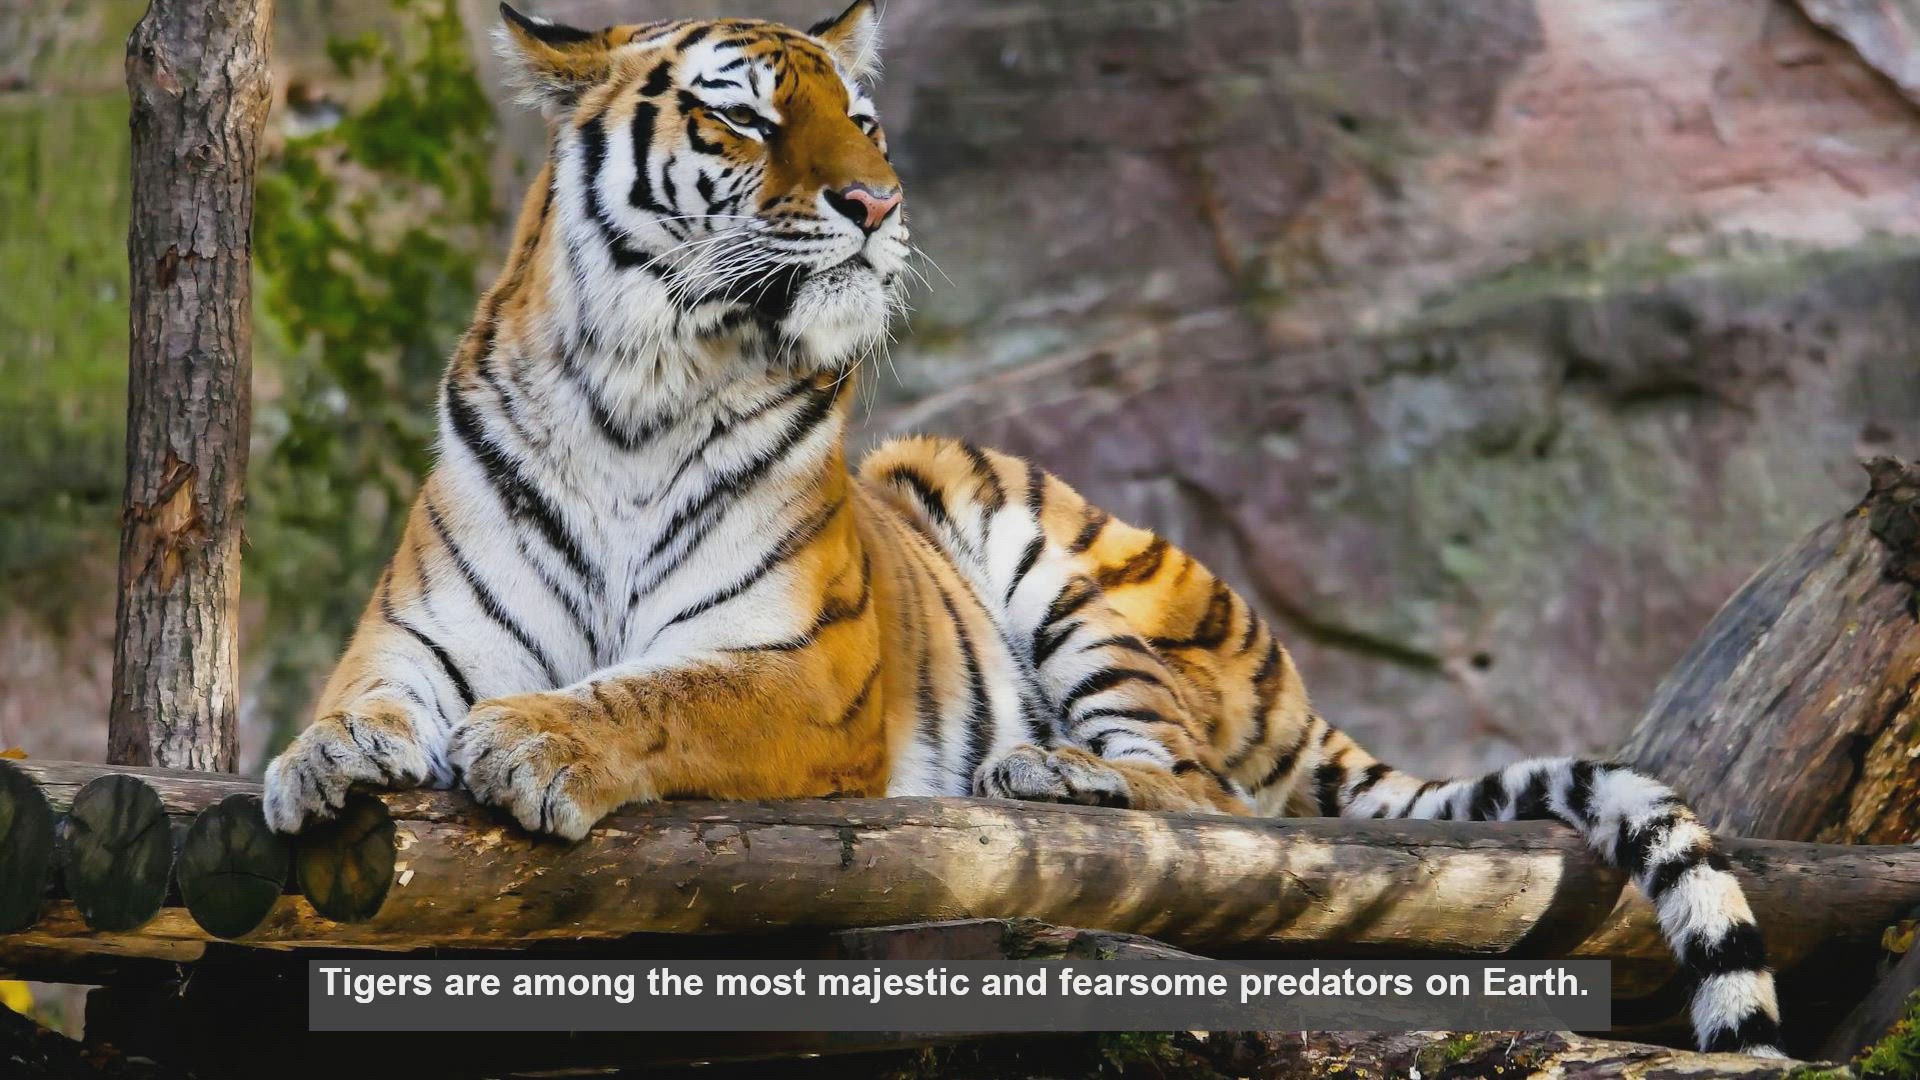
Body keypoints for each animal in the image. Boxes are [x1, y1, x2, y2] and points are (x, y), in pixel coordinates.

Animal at [261, 0, 1785, 1057]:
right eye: (746, 121)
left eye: (864, 123)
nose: (875, 203)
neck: (637, 391)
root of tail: (1294, 682)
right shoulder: (419, 634)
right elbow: (359, 699)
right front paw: (319, 763)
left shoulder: (804, 673)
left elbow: (658, 695)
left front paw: (536, 743)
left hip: (1048, 550)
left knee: (1213, 802)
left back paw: (1053, 775)